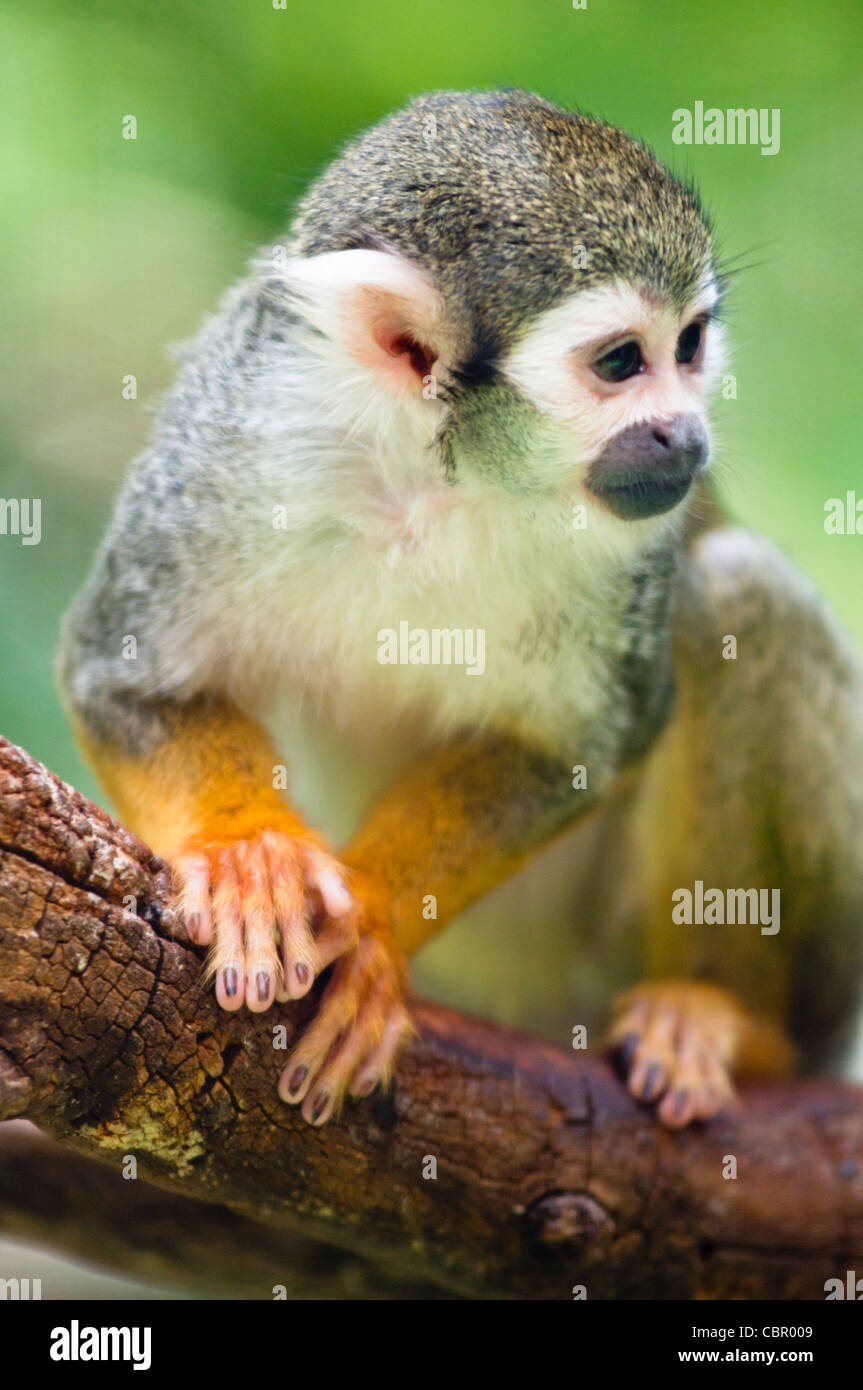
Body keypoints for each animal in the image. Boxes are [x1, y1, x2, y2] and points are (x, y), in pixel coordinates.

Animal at [58, 88, 863, 1130]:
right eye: (620, 362)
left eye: (689, 346)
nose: (684, 435)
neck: (437, 476)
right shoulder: (238, 434)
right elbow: (122, 677)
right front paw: (245, 858)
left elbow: (574, 749)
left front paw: (369, 919)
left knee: (741, 593)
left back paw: (730, 1020)